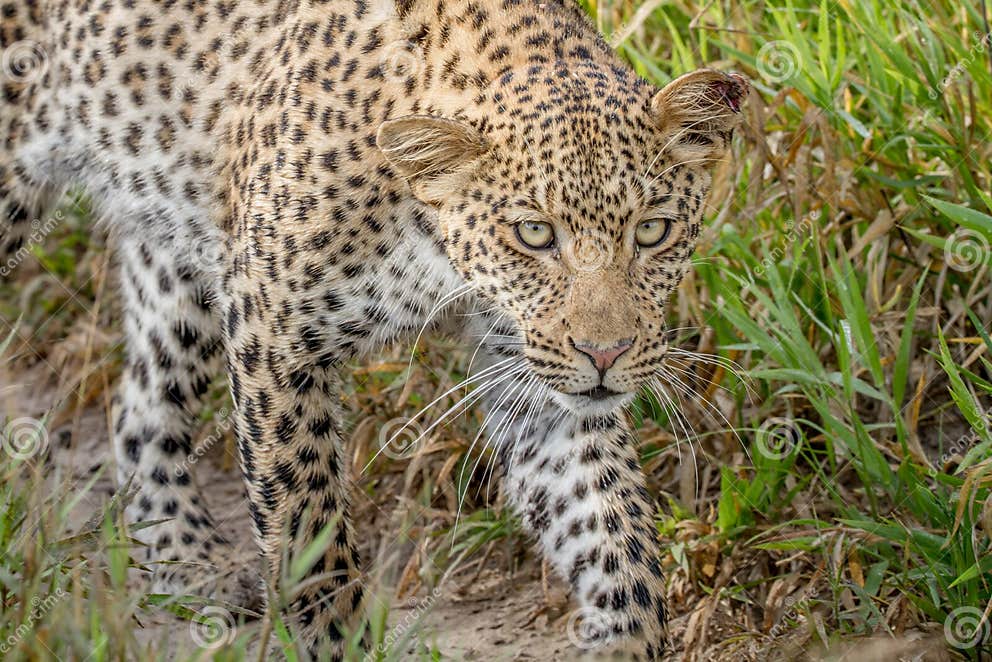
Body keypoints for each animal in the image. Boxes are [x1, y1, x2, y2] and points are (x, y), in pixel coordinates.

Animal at [0, 0, 747, 658]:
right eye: (534, 234)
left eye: (653, 231)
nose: (605, 354)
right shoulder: (273, 337)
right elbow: (309, 539)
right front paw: (337, 641)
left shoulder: (534, 372)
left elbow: (613, 533)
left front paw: (623, 638)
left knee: (139, 408)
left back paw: (193, 563)